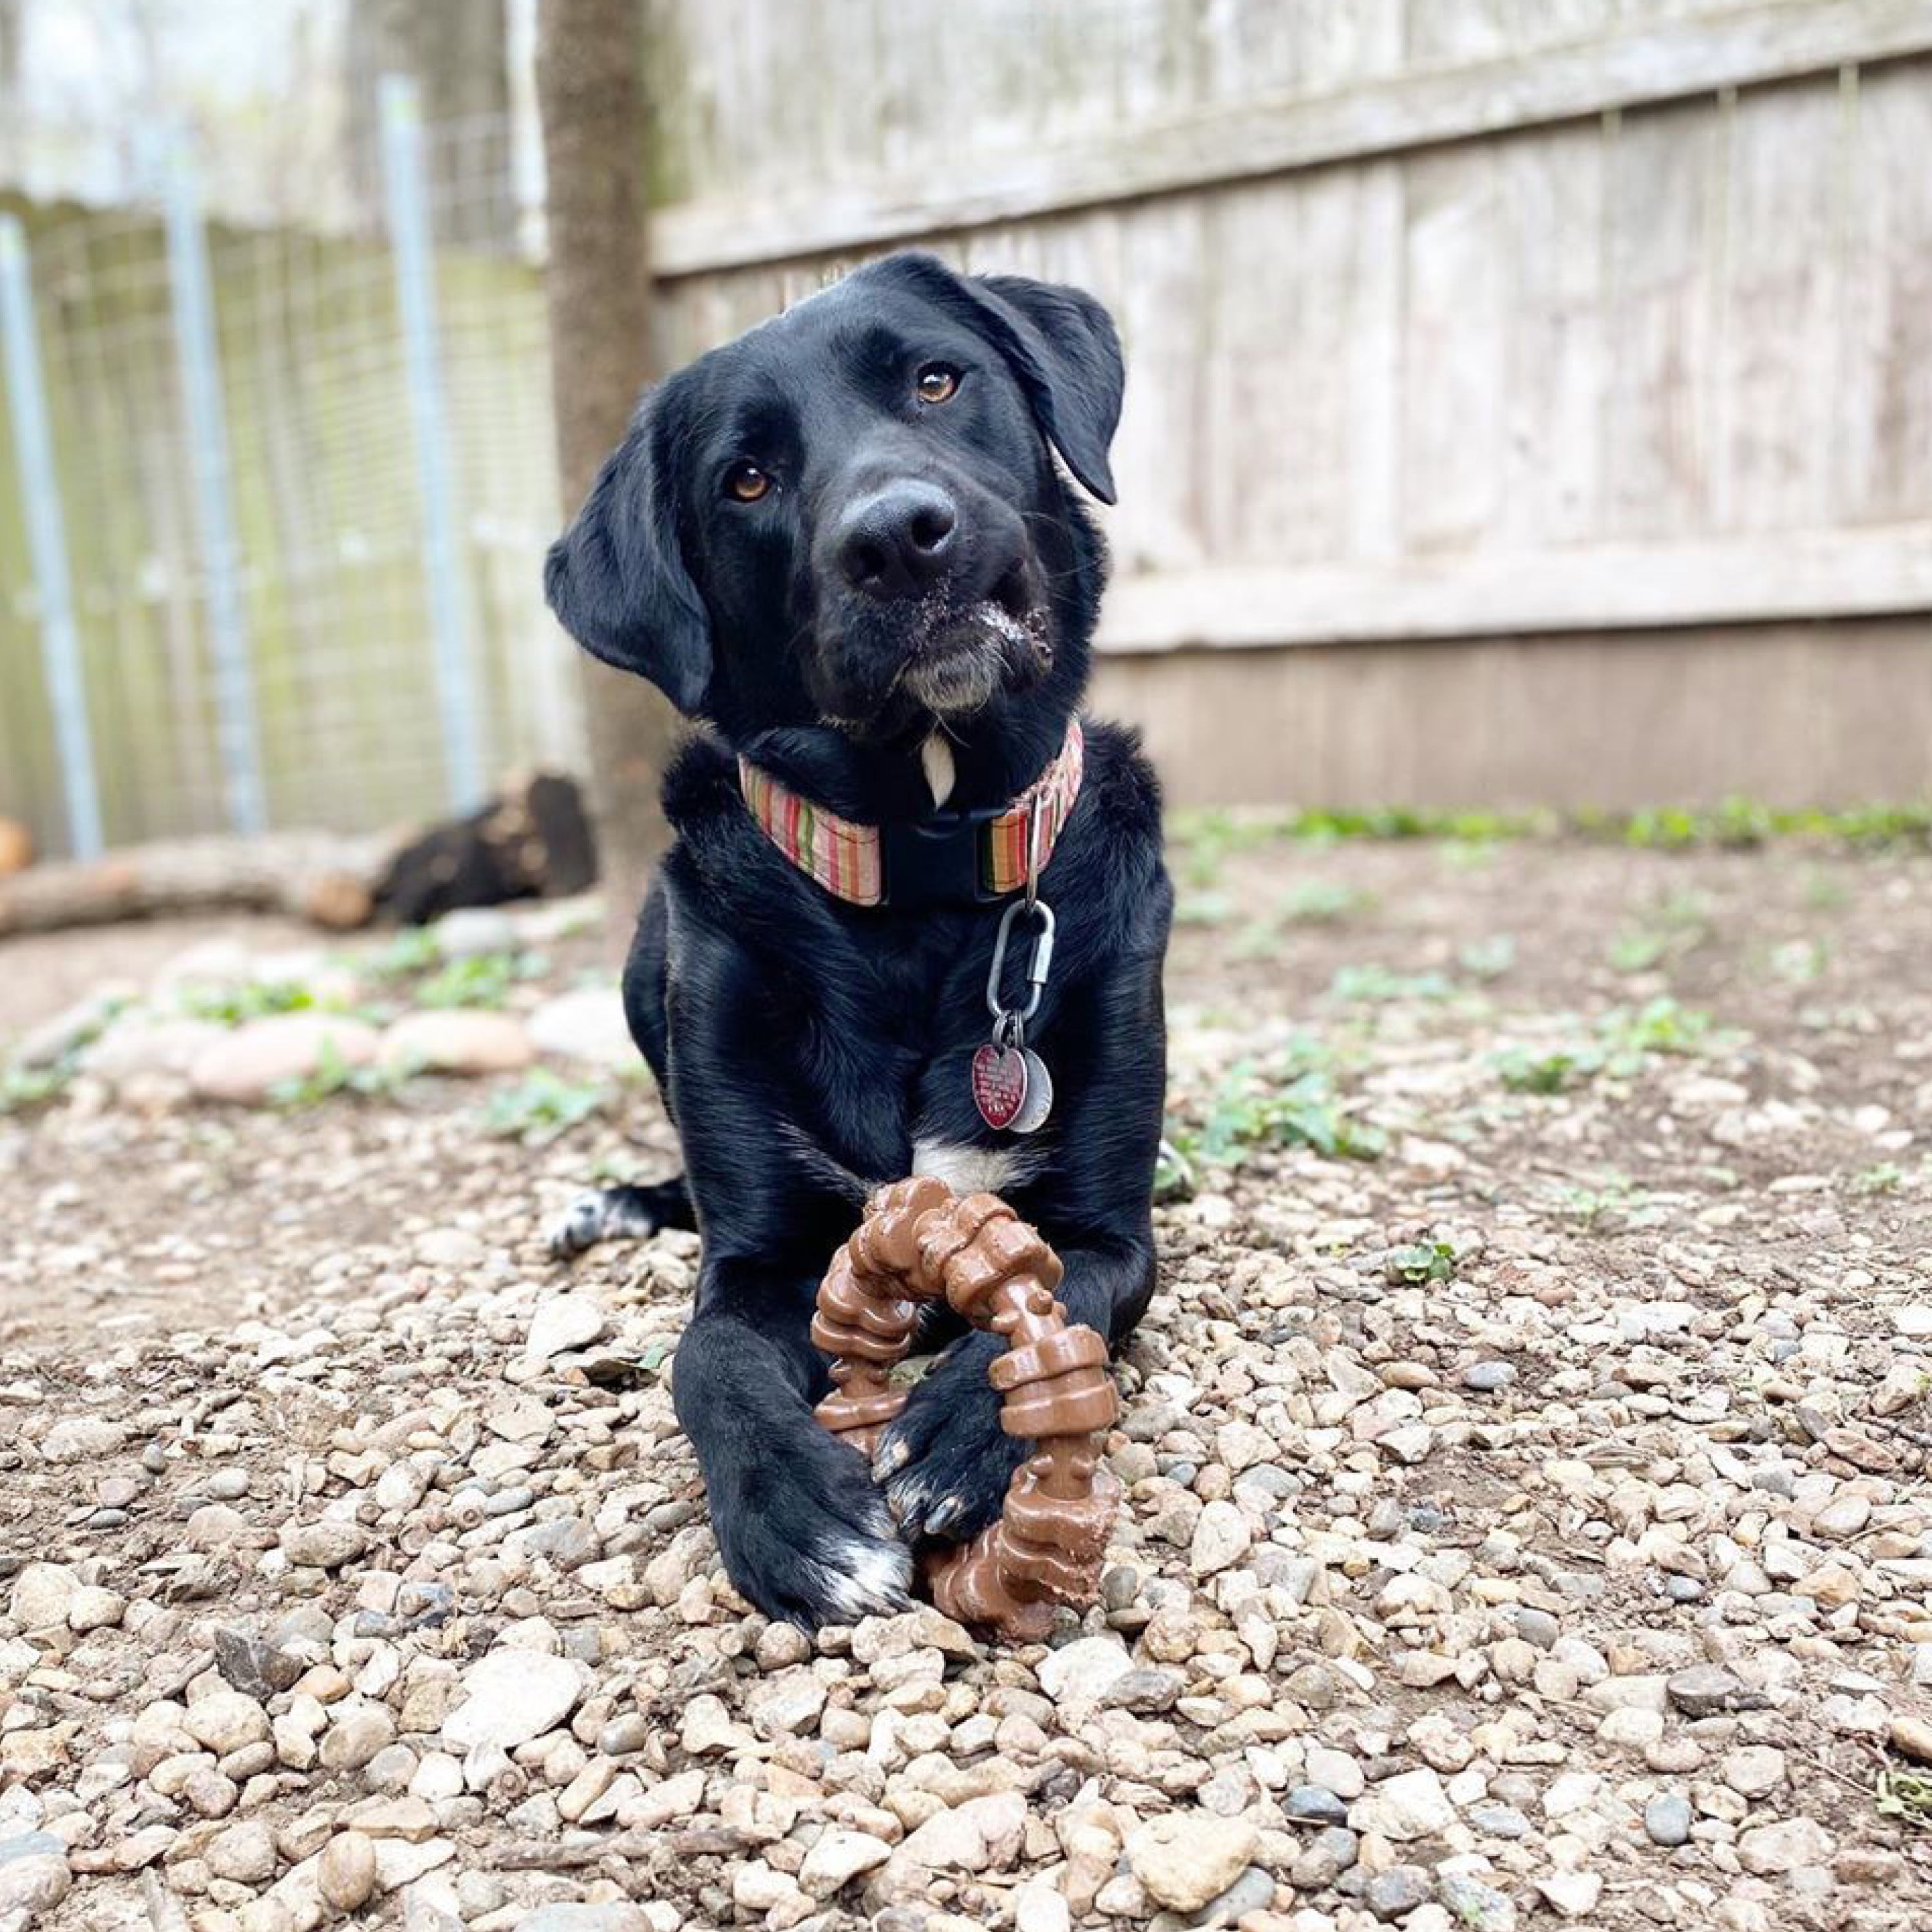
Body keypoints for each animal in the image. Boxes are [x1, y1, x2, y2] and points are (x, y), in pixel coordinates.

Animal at [553, 249, 1167, 1623]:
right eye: (746, 479)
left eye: (938, 381)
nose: (895, 536)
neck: (925, 869)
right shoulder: (758, 1261)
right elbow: (709, 1357)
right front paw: (797, 1514)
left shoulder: (1113, 1231)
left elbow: (1075, 1291)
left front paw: (959, 1433)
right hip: (647, 957)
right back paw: (613, 1203)